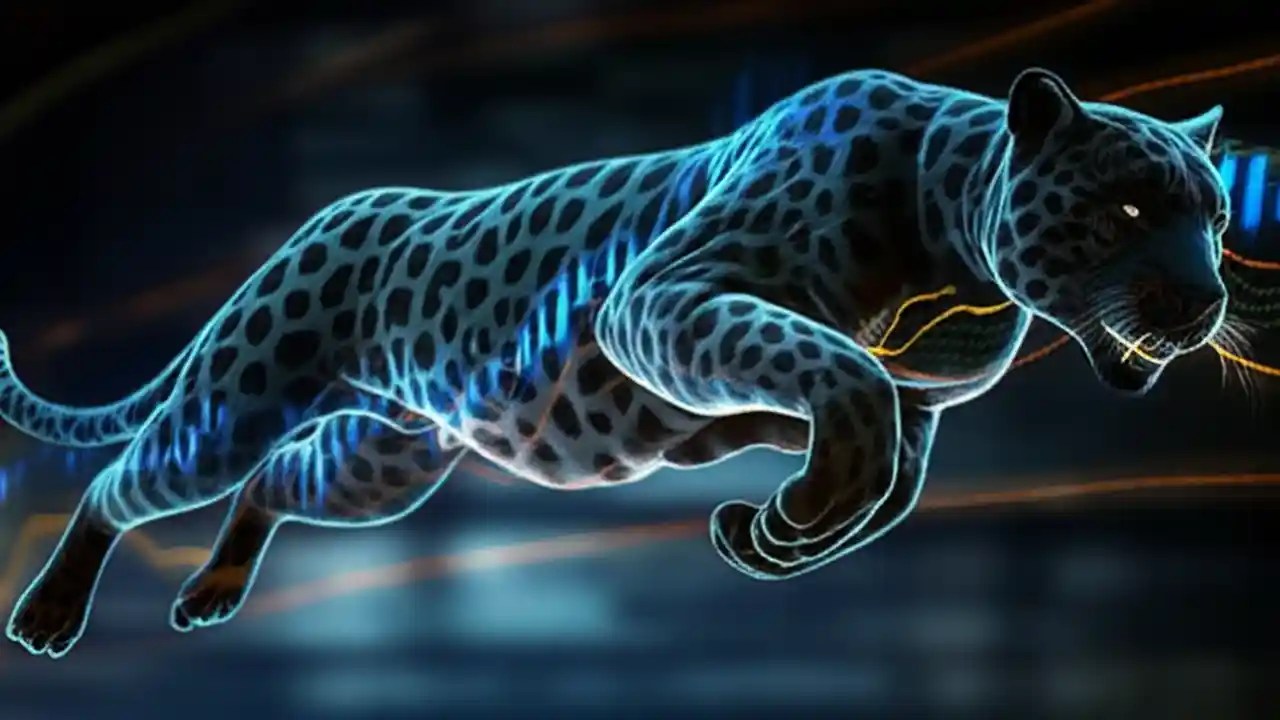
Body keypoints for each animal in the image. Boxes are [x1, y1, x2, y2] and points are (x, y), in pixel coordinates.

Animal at [0, 66, 1228, 659]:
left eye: (1215, 215)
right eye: (1128, 207)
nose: (1212, 299)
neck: (955, 249)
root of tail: (322, 214)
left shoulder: (925, 413)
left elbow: (885, 479)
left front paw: (772, 538)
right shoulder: (665, 299)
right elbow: (847, 383)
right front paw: (790, 512)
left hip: (381, 462)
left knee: (270, 484)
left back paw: (212, 589)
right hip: (239, 400)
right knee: (122, 483)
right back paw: (50, 614)